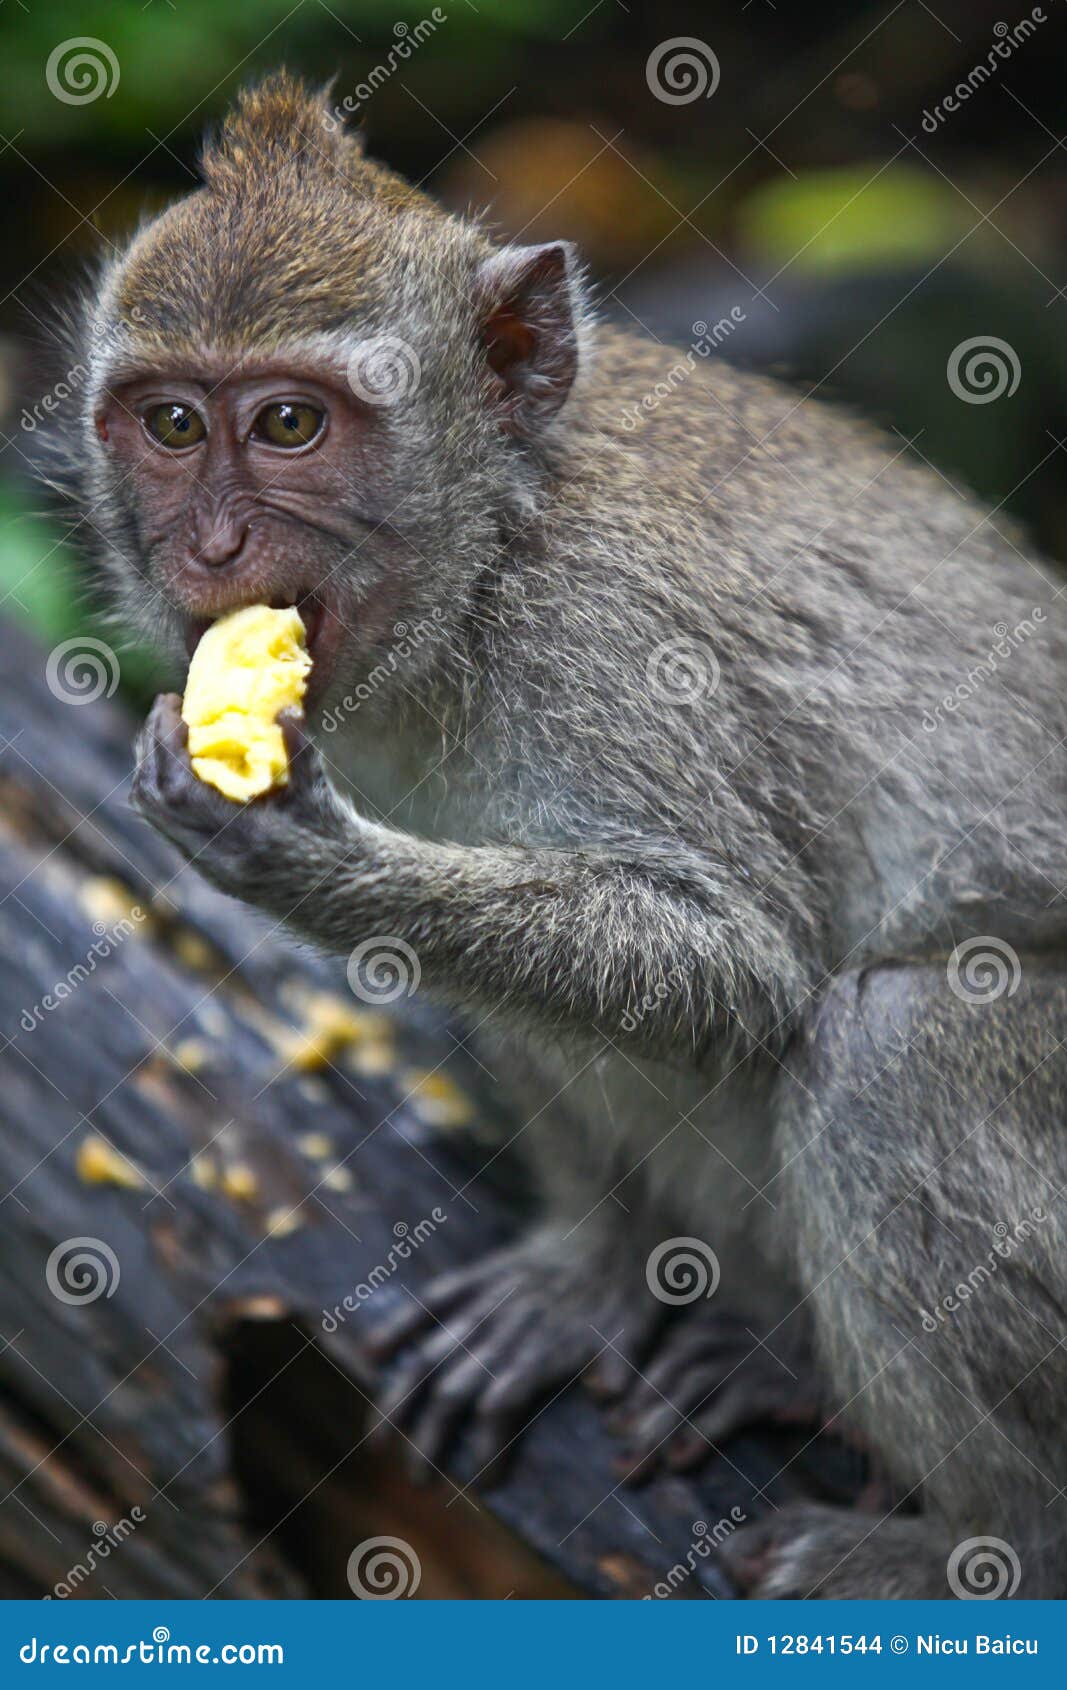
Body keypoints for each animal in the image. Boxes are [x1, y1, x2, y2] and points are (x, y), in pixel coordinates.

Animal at [49, 72, 1067, 1598]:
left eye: (287, 426)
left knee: (893, 1044)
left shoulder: (607, 637)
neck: (484, 555)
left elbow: (736, 963)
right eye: (172, 426)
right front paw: (583, 1272)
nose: (212, 547)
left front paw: (312, 865)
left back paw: (985, 1536)